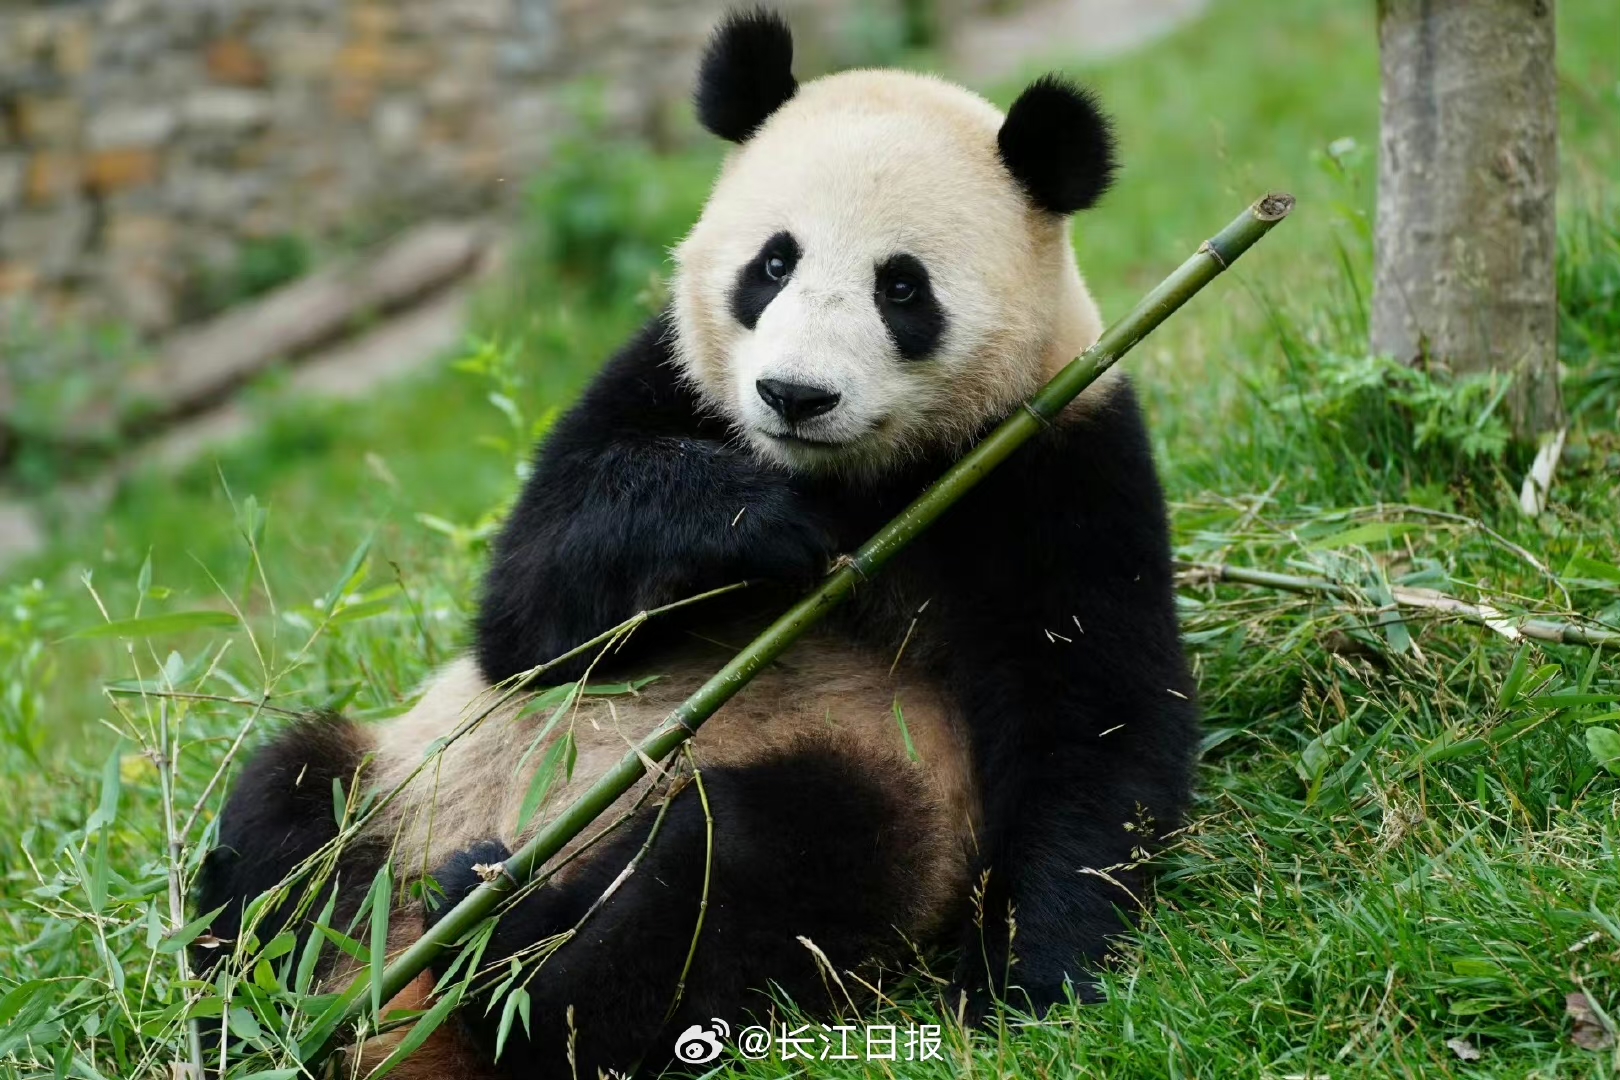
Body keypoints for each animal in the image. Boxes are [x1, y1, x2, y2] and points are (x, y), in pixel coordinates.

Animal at [197, 9, 1199, 1078]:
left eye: (902, 288)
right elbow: (530, 620)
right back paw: (268, 1020)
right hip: (394, 789)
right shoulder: (660, 380)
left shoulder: (1054, 453)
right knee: (279, 829)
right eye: (773, 264)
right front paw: (752, 520)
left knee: (740, 869)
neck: (860, 481)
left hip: (876, 790)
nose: (795, 395)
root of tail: (397, 1022)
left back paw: (501, 949)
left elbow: (1094, 713)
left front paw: (1022, 984)